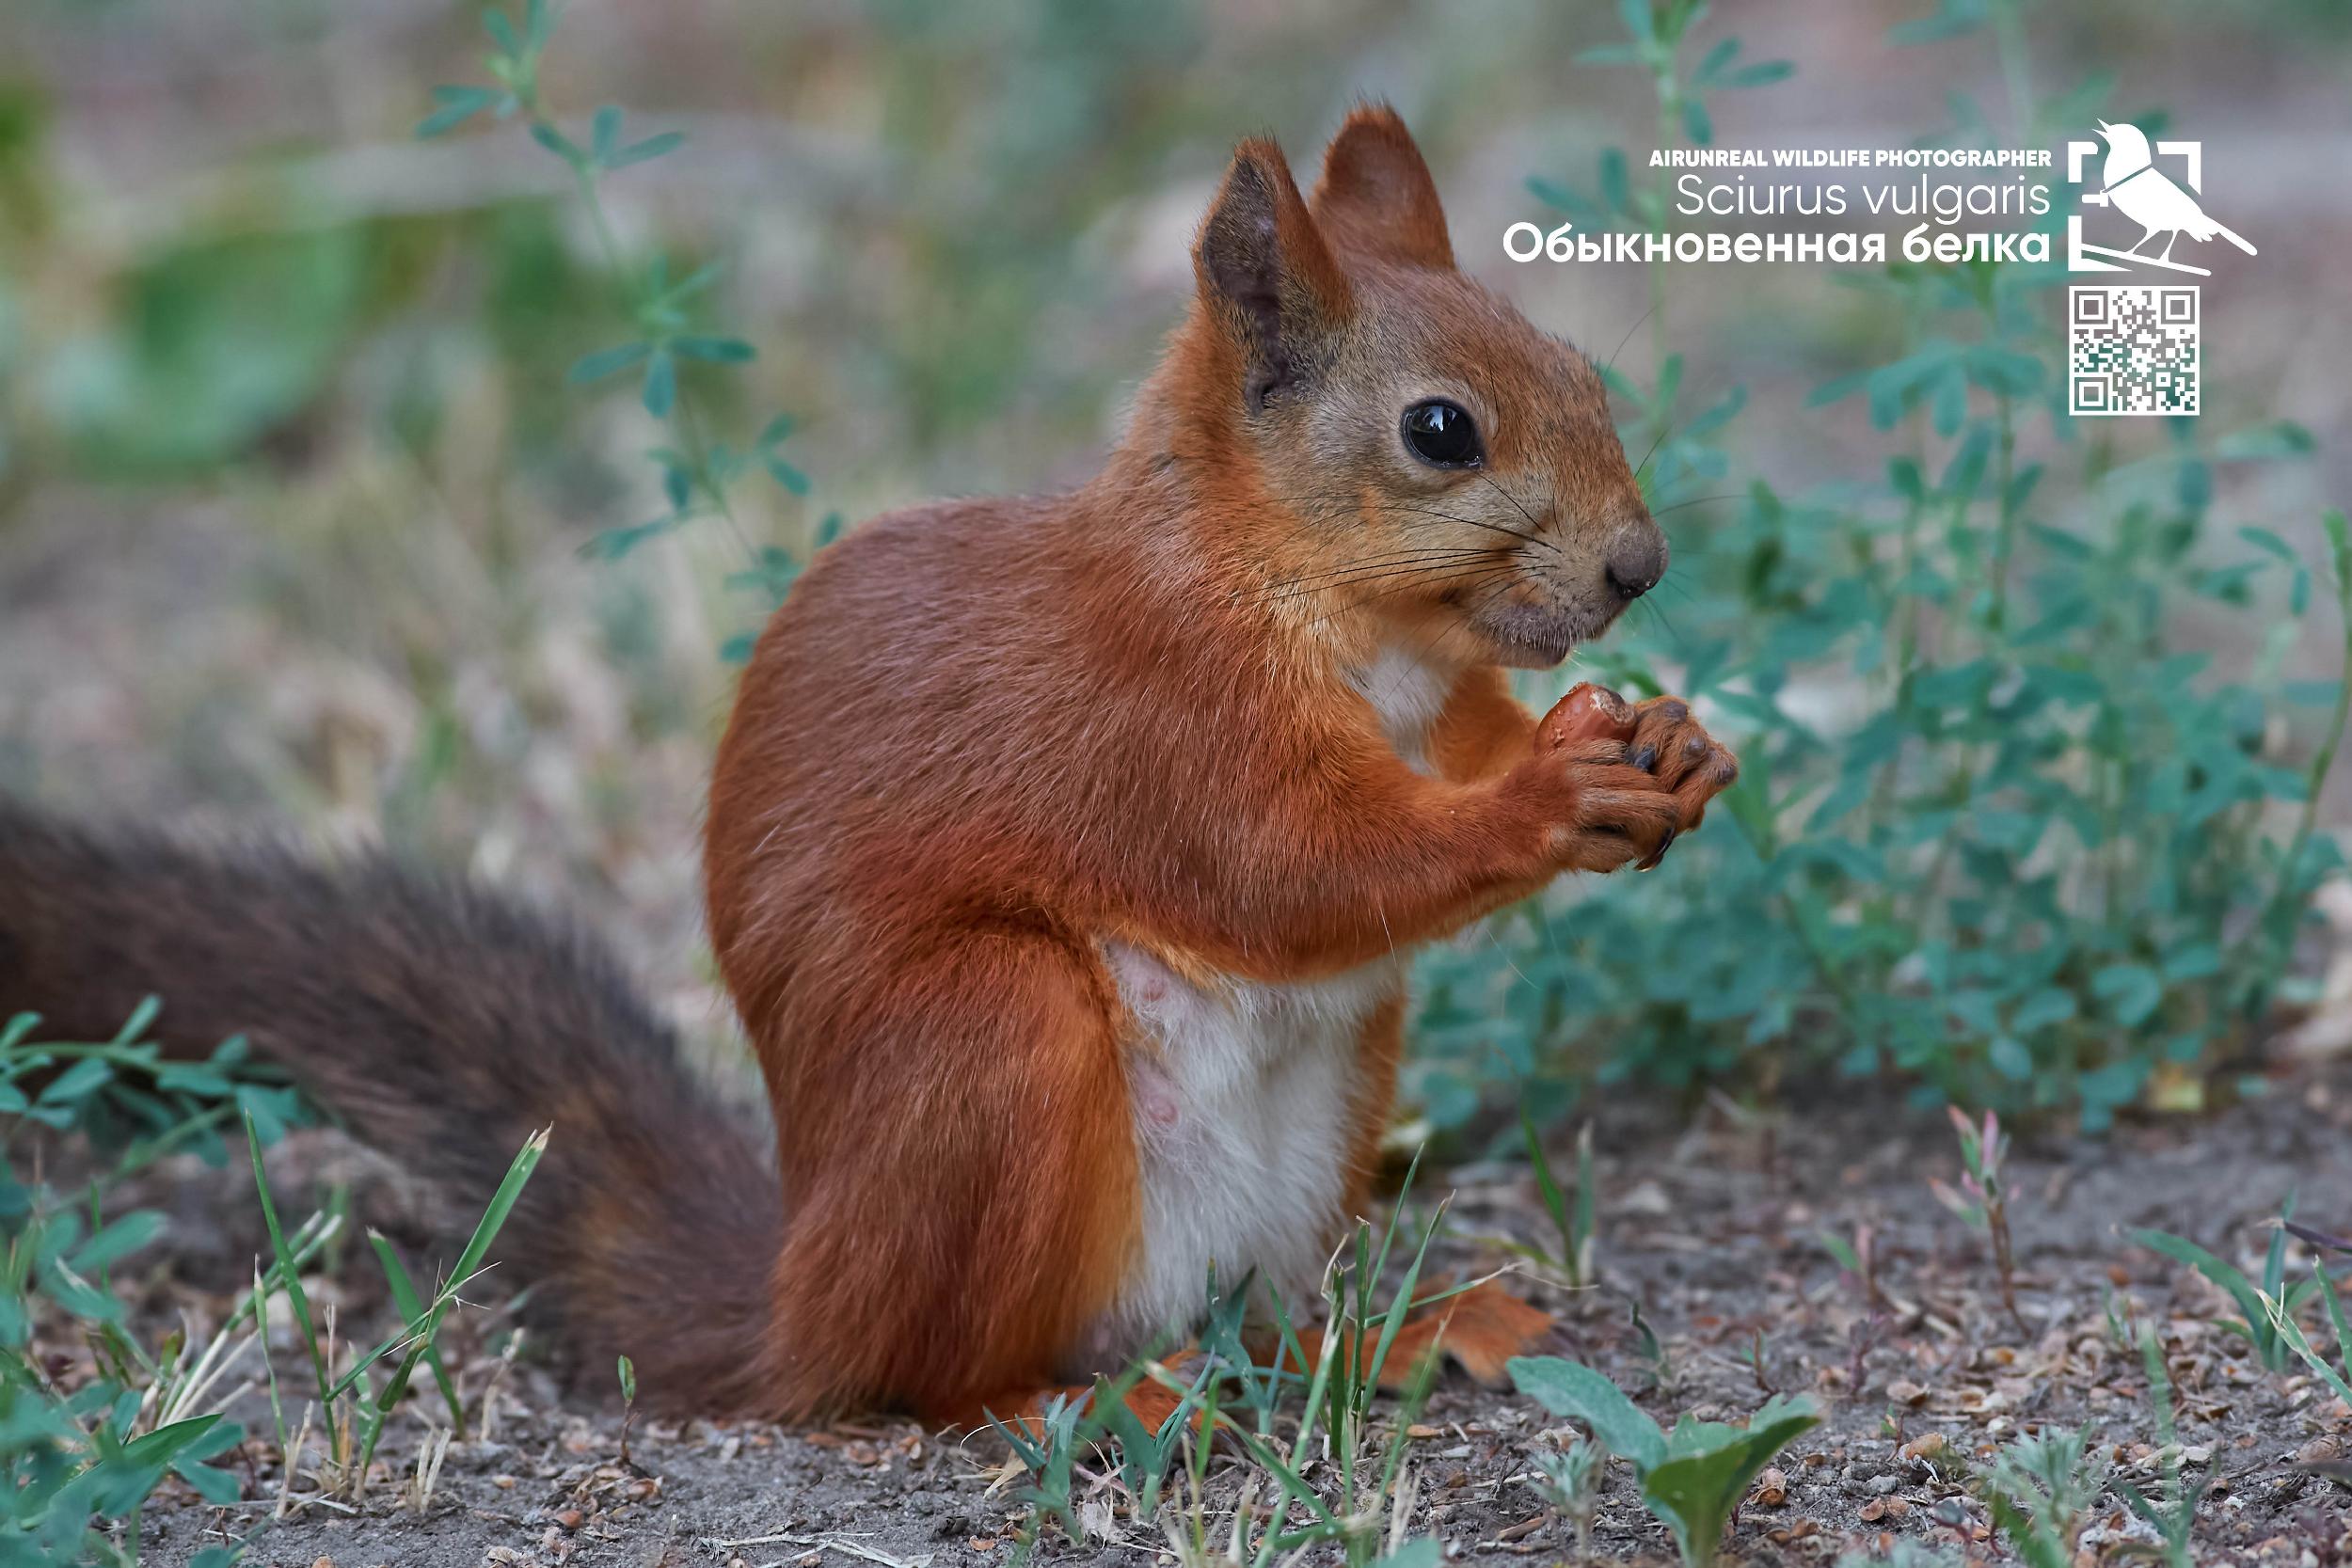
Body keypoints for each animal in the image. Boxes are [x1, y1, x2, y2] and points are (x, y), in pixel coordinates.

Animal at [0, 106, 1735, 1426]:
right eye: (1441, 431)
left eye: (1578, 368)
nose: (1639, 567)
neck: (1350, 624)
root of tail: (796, 1296)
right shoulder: (1159, 725)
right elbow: (1296, 867)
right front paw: (1553, 794)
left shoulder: (1436, 700)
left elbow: (1456, 762)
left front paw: (1669, 734)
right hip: (985, 1041)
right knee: (938, 1376)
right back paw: (1091, 1402)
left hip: (1329, 1100)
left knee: (1253, 1315)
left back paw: (1387, 1334)